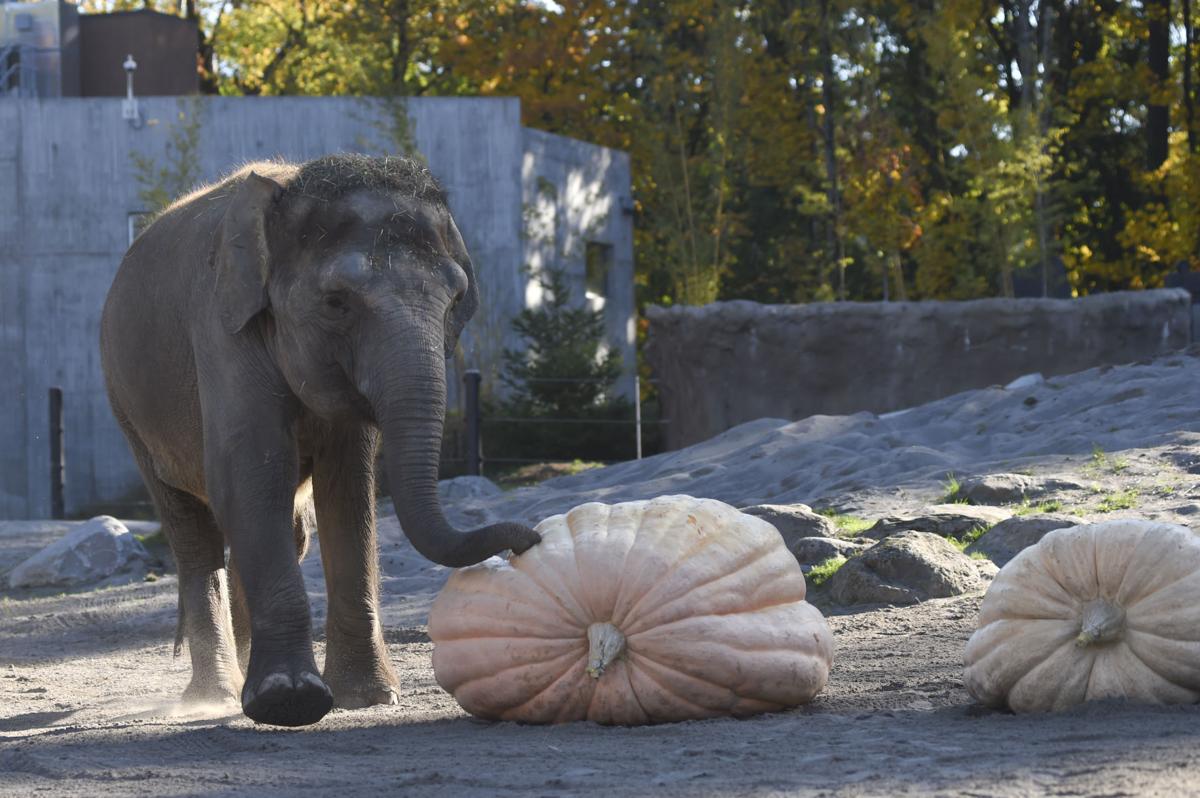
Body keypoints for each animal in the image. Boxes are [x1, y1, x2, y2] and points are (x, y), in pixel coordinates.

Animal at [99, 154, 540, 727]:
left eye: (457, 300)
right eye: (336, 302)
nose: (527, 540)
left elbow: (349, 487)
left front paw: (369, 697)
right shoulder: (221, 327)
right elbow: (250, 471)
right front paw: (290, 699)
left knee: (286, 529)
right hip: (128, 407)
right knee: (191, 532)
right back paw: (215, 696)